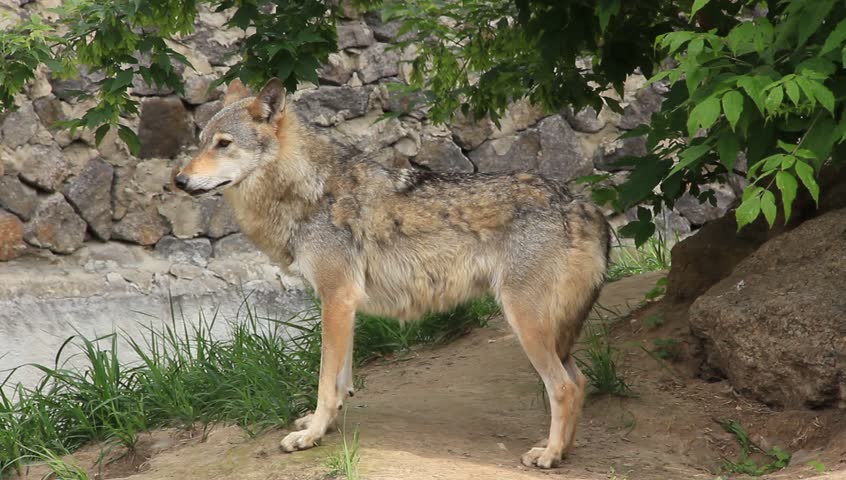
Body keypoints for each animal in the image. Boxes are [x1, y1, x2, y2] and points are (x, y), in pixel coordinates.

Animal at [174, 78, 610, 469]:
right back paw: (561, 450)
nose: (179, 180)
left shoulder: (336, 298)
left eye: (223, 144)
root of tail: (583, 206)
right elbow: (341, 380)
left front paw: (311, 435)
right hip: (552, 332)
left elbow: (325, 382)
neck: (309, 190)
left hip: (525, 323)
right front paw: (324, 426)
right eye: (201, 141)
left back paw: (550, 455)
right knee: (581, 382)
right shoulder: (344, 304)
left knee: (564, 387)